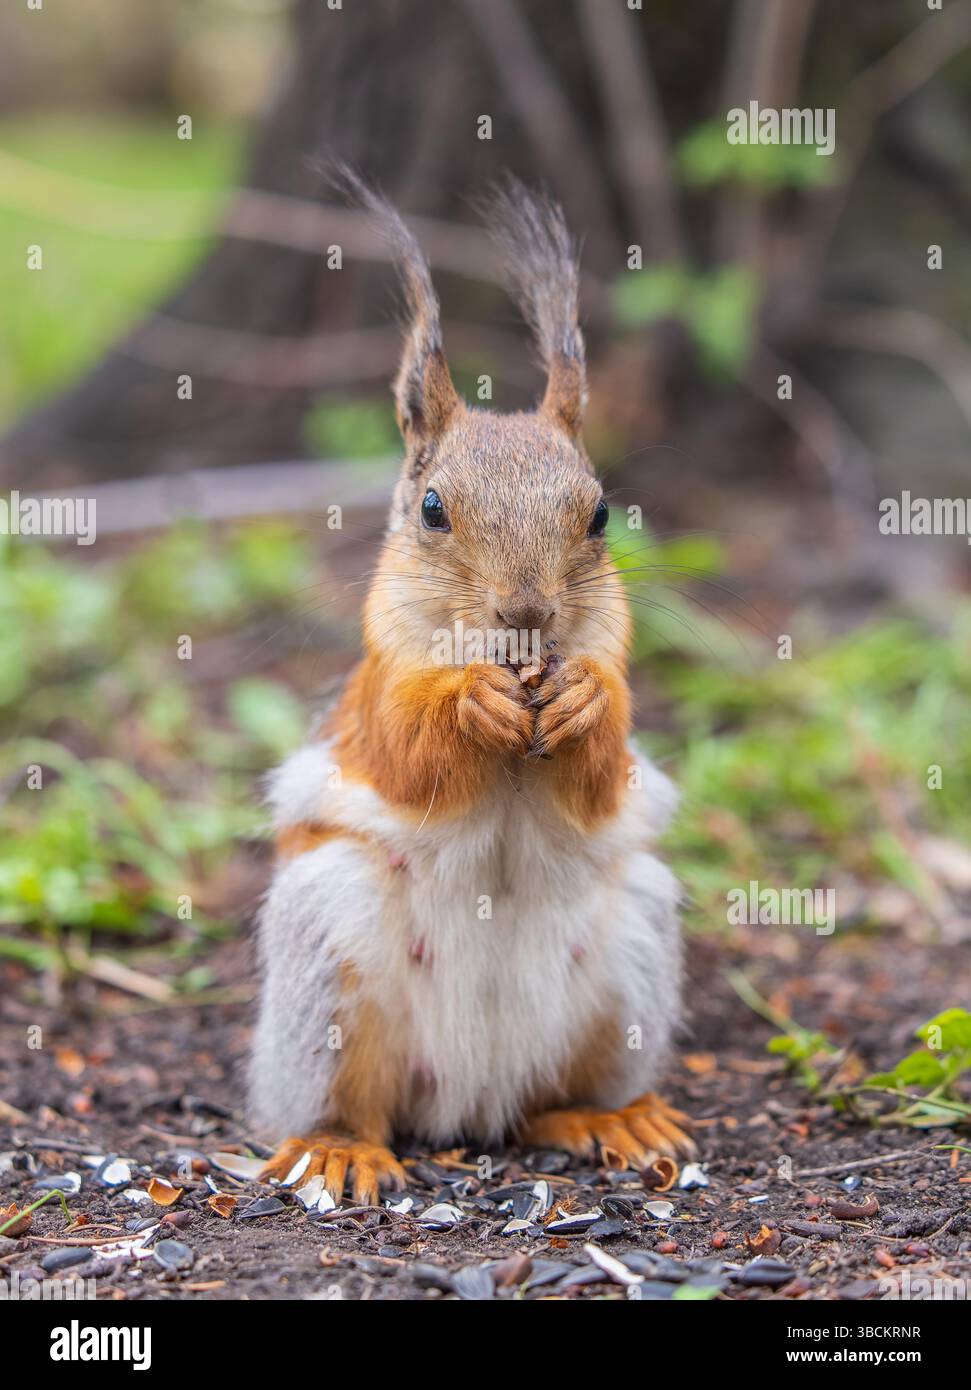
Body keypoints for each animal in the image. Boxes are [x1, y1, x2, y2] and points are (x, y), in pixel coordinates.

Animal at [248, 174, 693, 1205]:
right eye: (431, 510)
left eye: (600, 514)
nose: (526, 614)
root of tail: (472, 1097)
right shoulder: (375, 695)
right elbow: (406, 758)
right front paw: (466, 707)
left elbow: (602, 777)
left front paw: (583, 705)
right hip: (323, 950)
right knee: (350, 1104)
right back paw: (337, 1147)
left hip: (636, 939)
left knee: (552, 1101)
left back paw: (610, 1118)